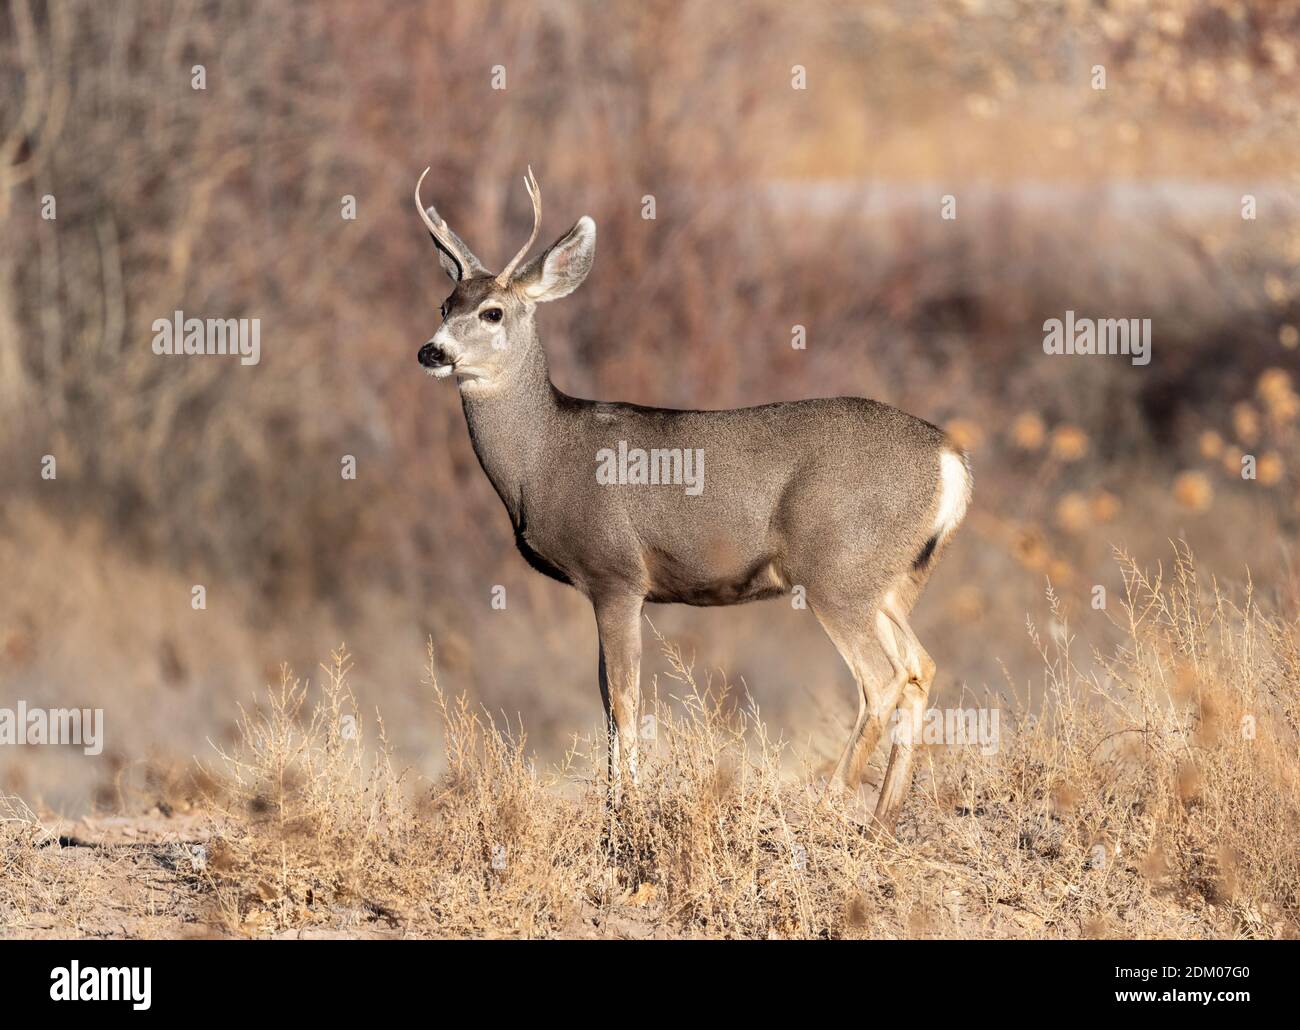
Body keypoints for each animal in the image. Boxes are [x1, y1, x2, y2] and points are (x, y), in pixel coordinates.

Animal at [413, 166, 972, 829]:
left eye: (493, 311)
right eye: (444, 305)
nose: (432, 351)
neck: (543, 459)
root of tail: (950, 460)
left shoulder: (615, 573)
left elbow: (623, 700)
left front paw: (626, 811)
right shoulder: (610, 588)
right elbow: (606, 700)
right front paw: (615, 804)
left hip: (837, 571)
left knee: (883, 678)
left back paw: (828, 804)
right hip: (892, 579)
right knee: (921, 666)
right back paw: (885, 814)